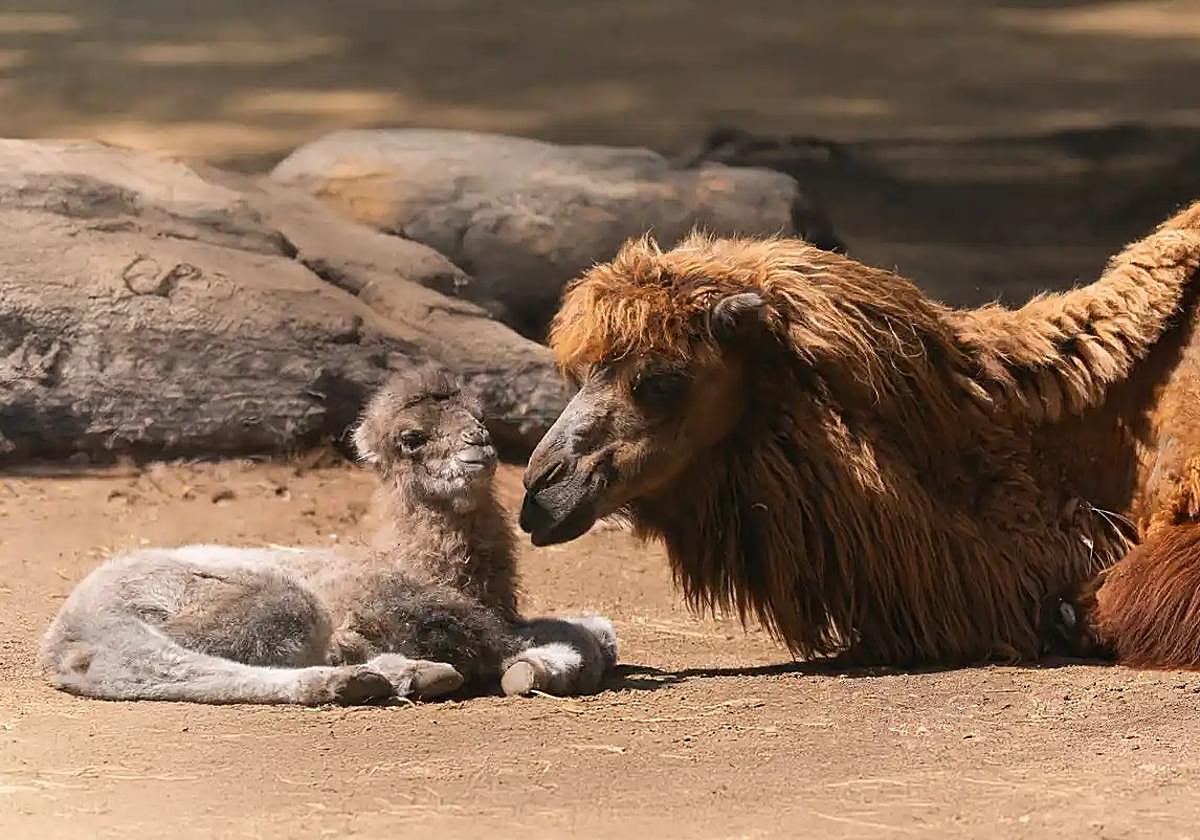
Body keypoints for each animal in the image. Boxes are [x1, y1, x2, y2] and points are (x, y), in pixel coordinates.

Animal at [41, 367, 617, 704]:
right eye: (412, 438)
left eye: (480, 418)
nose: (479, 446)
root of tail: (70, 627)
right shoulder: (421, 608)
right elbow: (548, 639)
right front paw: (538, 668)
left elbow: (592, 630)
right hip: (265, 599)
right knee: (160, 658)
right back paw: (368, 677)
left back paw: (393, 675)